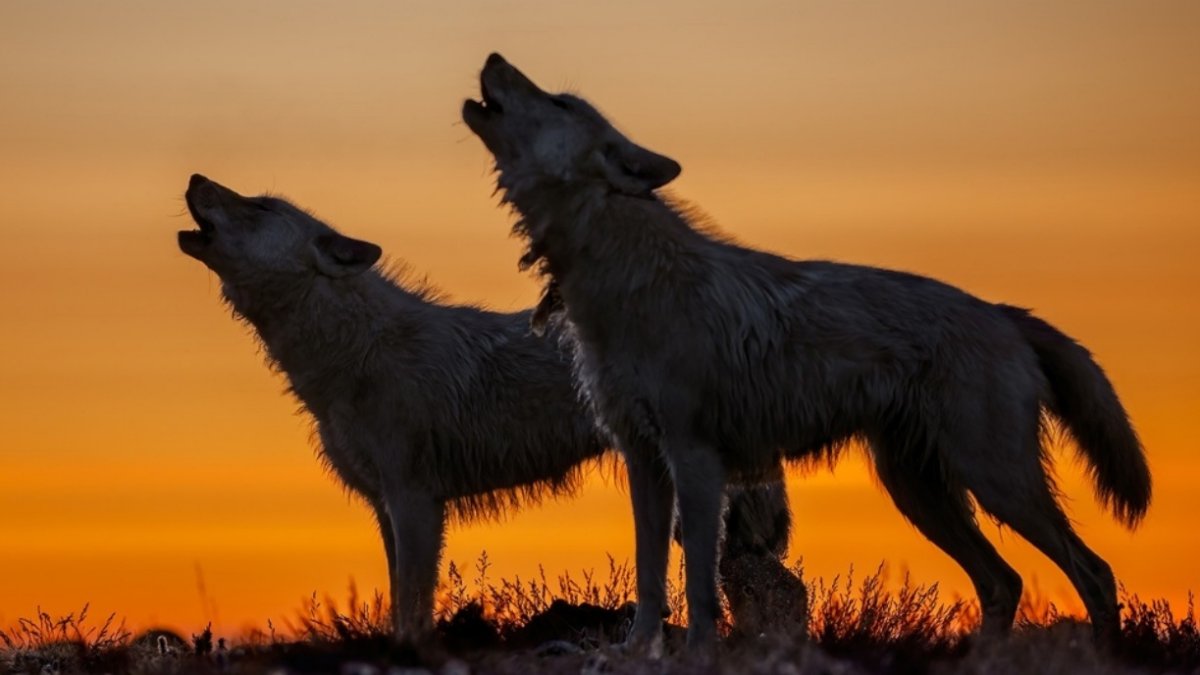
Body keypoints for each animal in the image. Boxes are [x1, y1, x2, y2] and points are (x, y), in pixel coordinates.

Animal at [177, 174, 804, 643]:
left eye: (260, 206)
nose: (195, 178)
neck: (353, 357)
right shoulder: (385, 507)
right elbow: (399, 595)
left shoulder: (416, 501)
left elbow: (413, 606)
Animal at [462, 53, 1151, 651]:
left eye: (561, 101)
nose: (493, 56)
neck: (622, 276)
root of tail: (1005, 313)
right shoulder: (644, 460)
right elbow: (651, 582)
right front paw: (637, 654)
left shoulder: (695, 458)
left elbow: (698, 587)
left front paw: (699, 655)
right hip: (921, 493)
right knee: (1003, 582)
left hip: (995, 482)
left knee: (1093, 571)